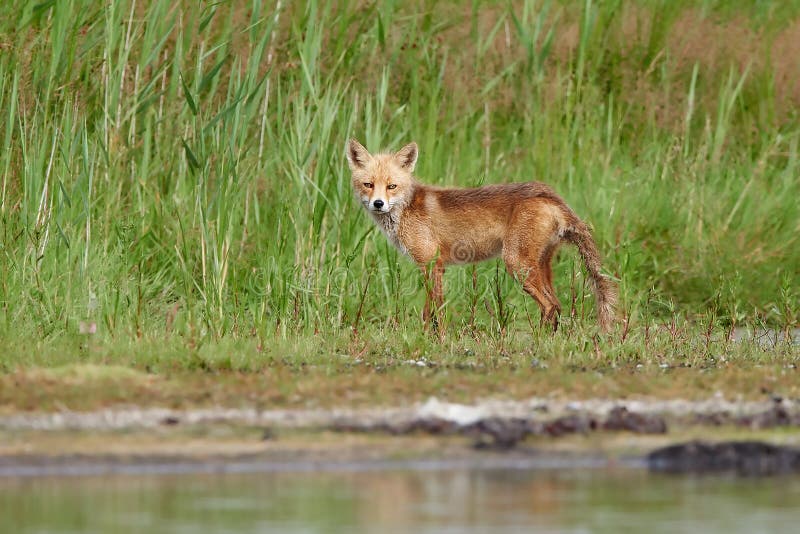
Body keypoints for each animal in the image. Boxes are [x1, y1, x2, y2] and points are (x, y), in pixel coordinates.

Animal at [346, 138, 617, 332]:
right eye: (368, 185)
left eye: (392, 186)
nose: (378, 204)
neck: (407, 209)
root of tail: (549, 194)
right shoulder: (432, 266)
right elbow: (430, 310)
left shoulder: (432, 264)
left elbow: (434, 311)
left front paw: (436, 339)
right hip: (540, 265)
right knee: (557, 305)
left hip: (516, 263)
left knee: (550, 305)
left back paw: (537, 342)